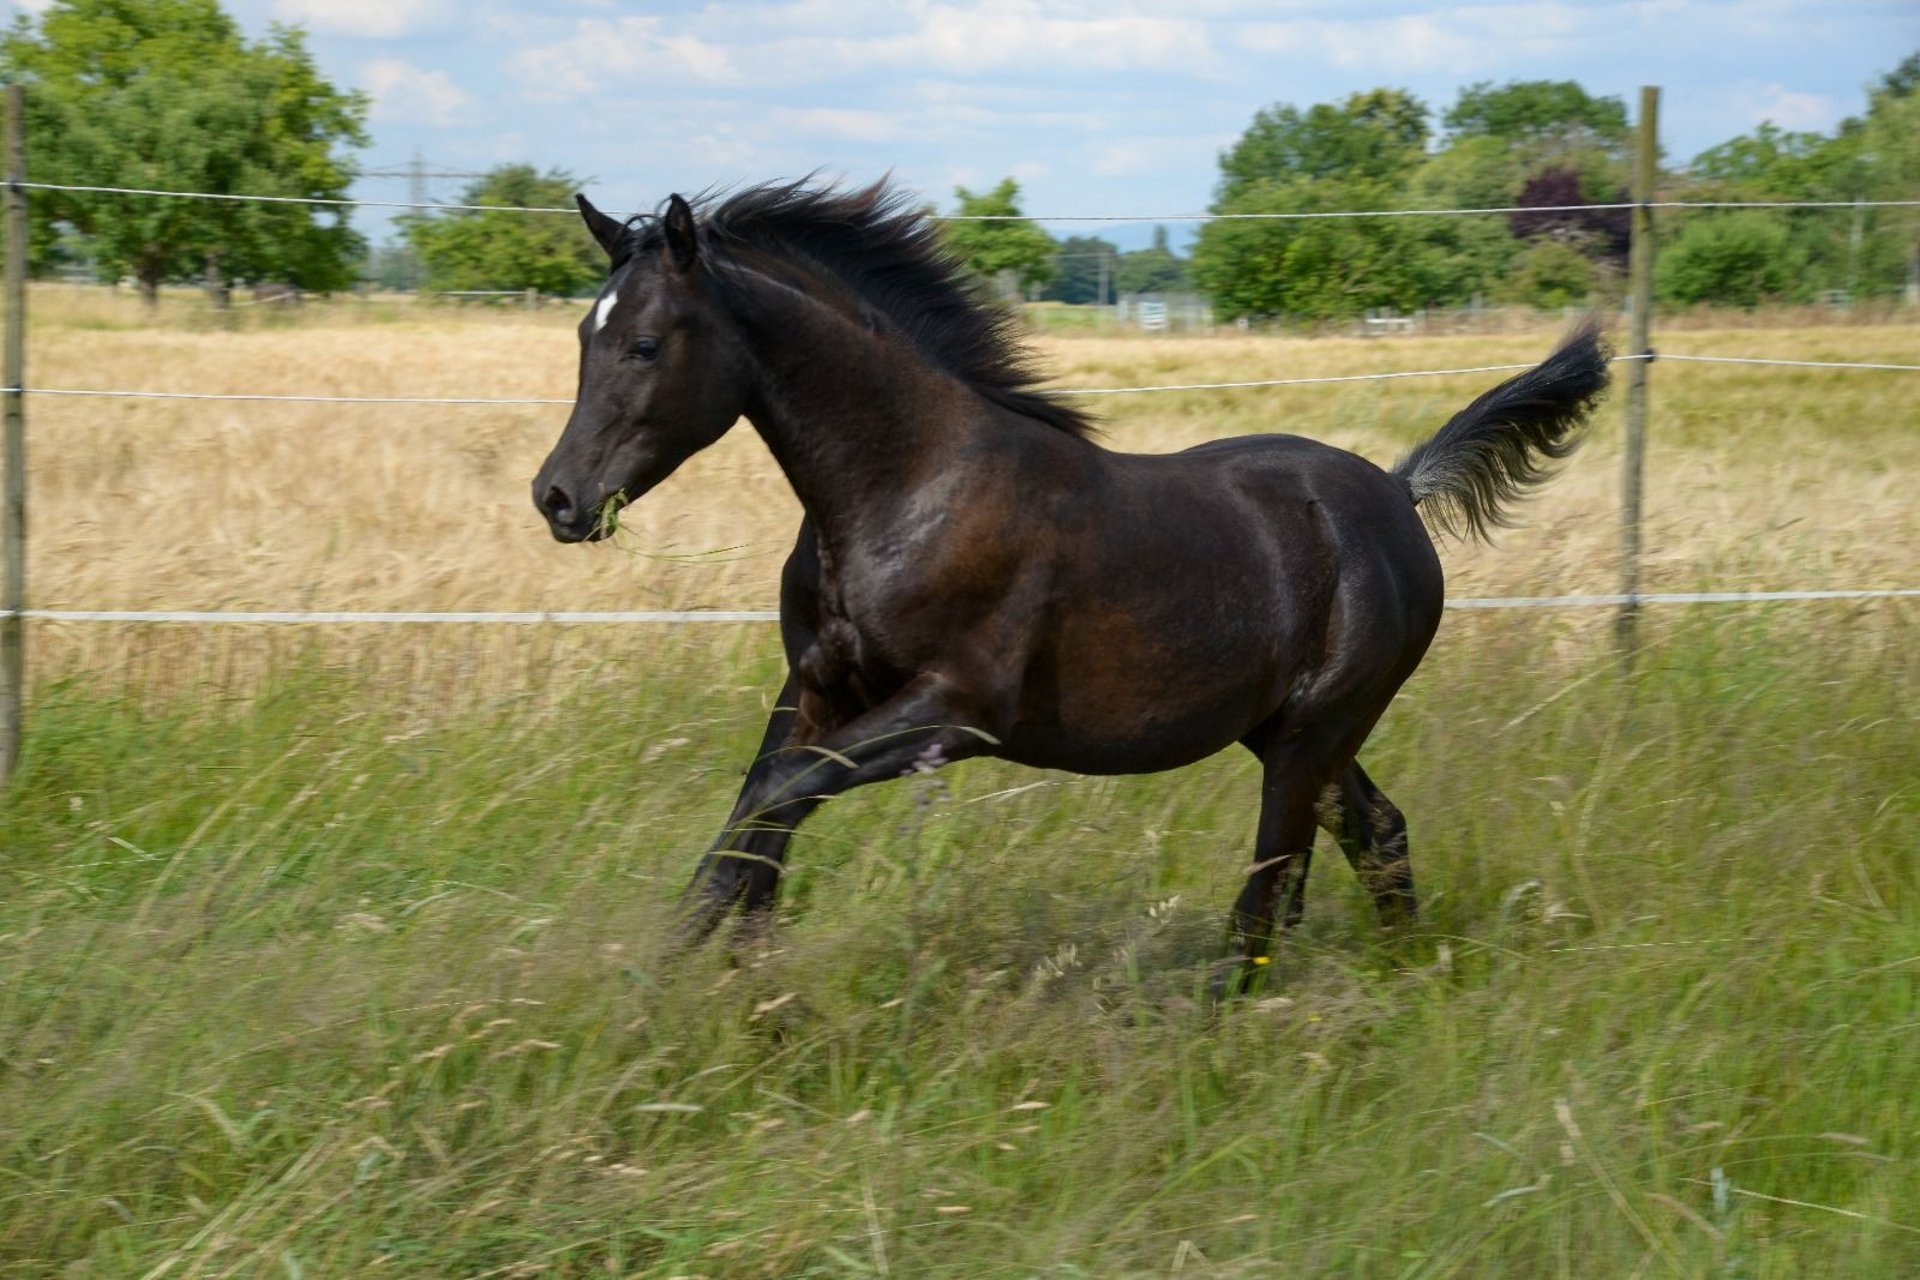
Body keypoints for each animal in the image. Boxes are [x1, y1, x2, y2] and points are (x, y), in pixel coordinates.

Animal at [532, 180, 1609, 980]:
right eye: (581, 338)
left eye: (644, 343)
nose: (559, 497)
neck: (910, 487)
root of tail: (1395, 490)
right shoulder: (816, 686)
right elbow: (758, 819)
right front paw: (711, 978)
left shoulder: (955, 710)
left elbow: (775, 798)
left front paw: (678, 988)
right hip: (1290, 729)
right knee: (1374, 833)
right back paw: (1406, 979)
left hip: (1316, 729)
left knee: (1272, 888)